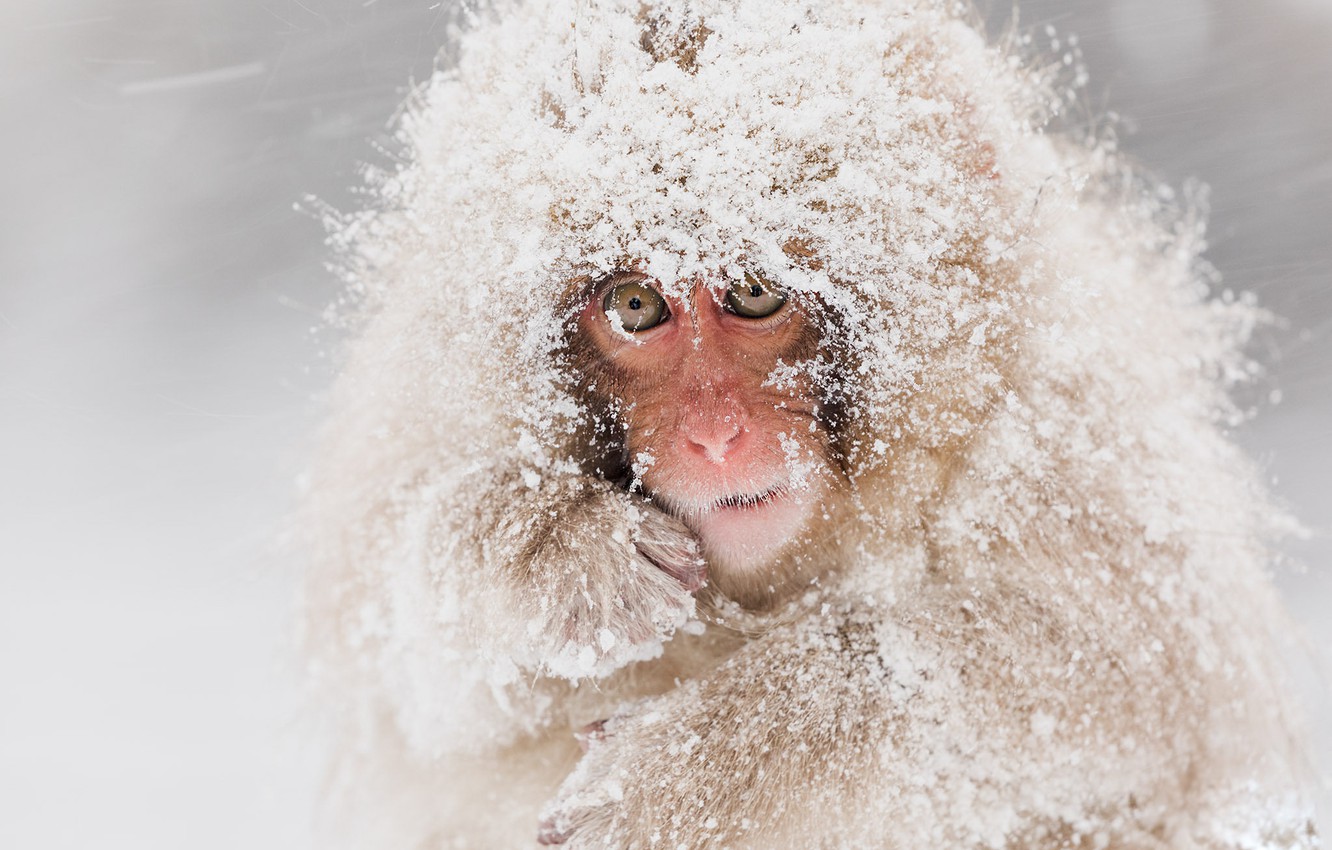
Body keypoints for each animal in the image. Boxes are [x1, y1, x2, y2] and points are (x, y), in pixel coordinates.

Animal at [297, 1, 1320, 848]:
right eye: (635, 305)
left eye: (755, 292)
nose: (713, 437)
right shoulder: (429, 426)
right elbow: (411, 693)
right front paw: (552, 549)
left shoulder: (1062, 434)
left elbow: (1125, 677)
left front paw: (695, 776)